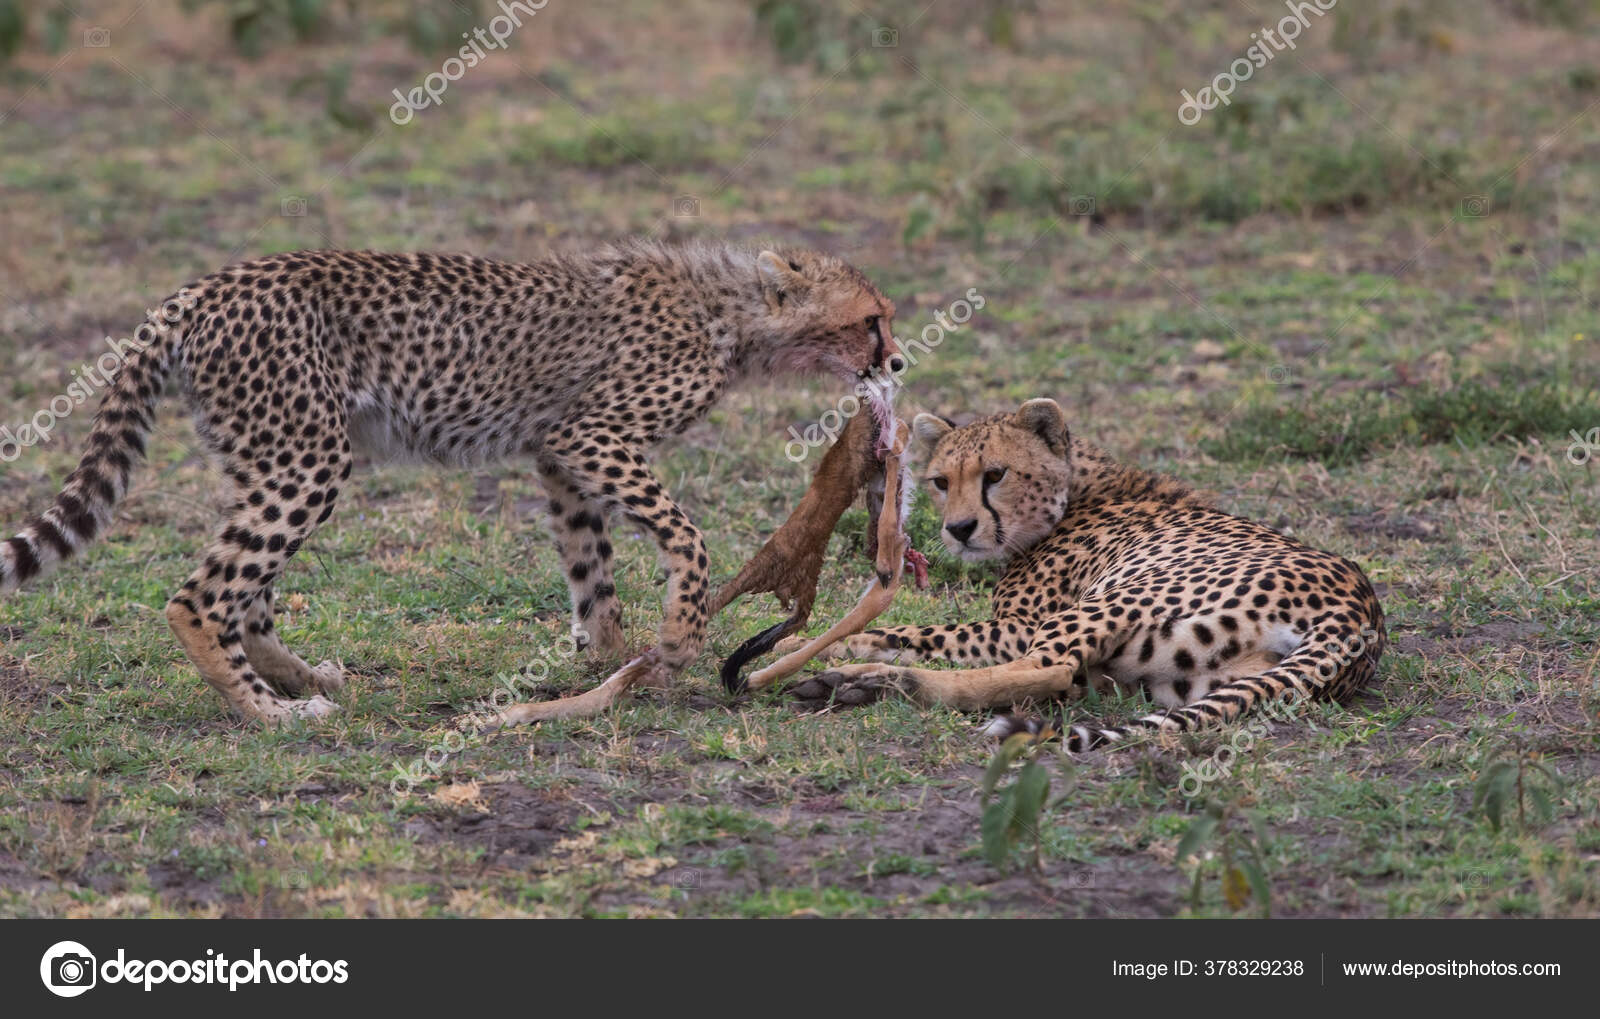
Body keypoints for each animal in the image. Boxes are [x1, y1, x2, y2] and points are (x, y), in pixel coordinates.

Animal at [0, 242, 901, 724]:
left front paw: (607, 659)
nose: (897, 361)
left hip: (270, 453)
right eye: (871, 319)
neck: (738, 313)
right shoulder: (590, 435)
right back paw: (272, 711)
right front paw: (675, 636)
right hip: (308, 459)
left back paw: (301, 679)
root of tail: (198, 288)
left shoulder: (557, 453)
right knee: (201, 595)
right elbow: (687, 533)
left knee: (245, 595)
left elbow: (592, 569)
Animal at [780, 397, 1386, 753]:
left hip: (1116, 595)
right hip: (1176, 677)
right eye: (940, 482)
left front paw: (815, 646)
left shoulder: (1016, 627)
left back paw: (869, 681)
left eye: (995, 474)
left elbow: (912, 630)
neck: (1077, 490)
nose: (958, 528)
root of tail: (1362, 614)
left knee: (1047, 672)